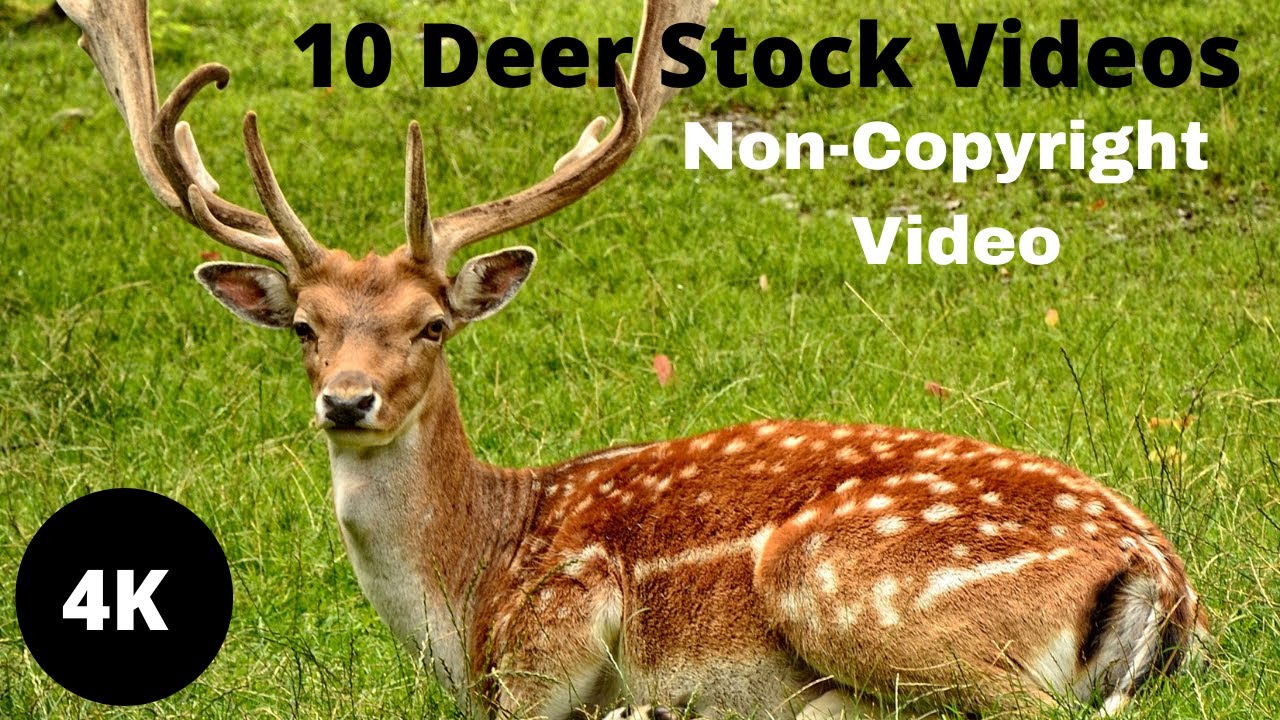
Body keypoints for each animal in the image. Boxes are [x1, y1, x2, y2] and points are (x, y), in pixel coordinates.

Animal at [60, 0, 1208, 717]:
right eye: (305, 324)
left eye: (432, 325)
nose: (348, 401)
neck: (465, 590)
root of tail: (1161, 576)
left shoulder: (555, 630)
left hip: (838, 580)